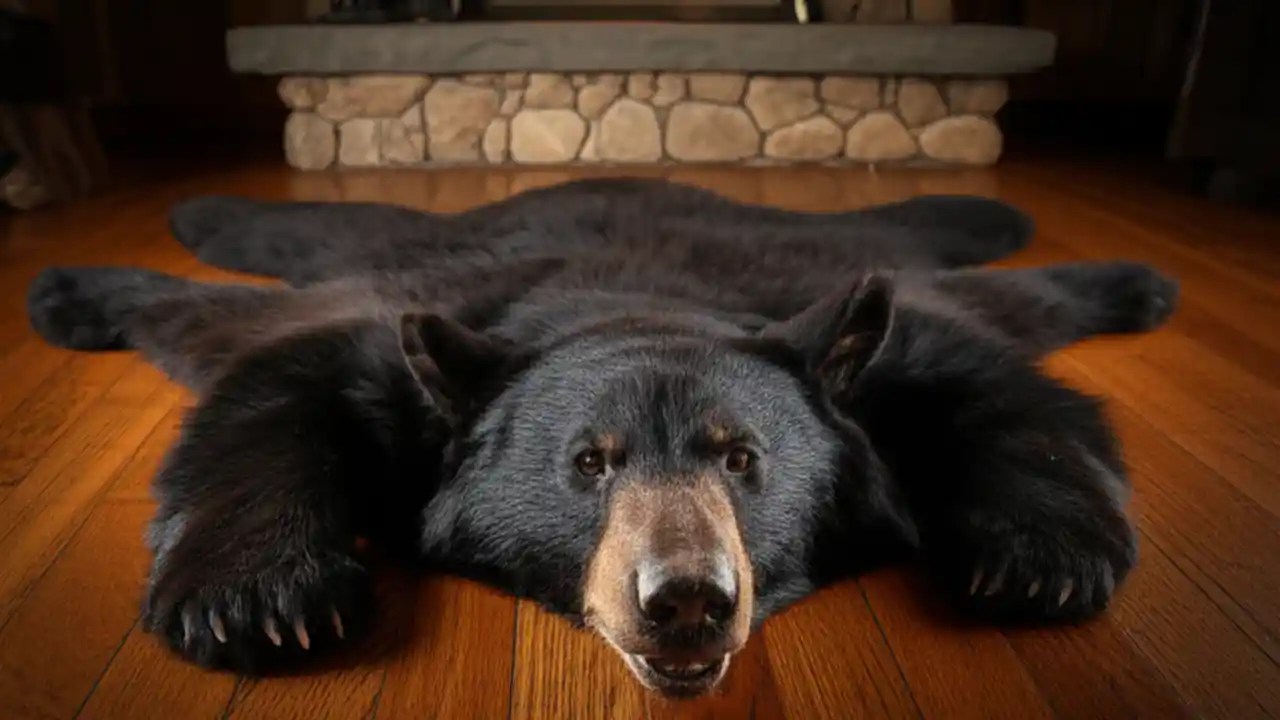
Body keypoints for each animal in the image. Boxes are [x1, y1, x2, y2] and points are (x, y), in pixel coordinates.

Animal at [26, 178, 1178, 697]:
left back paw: (1099, 261)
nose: (685, 598)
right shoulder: (407, 349)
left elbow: (1002, 385)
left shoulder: (866, 353)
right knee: (279, 250)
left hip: (802, 248)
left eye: (742, 459)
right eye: (587, 463)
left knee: (957, 255)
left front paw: (1039, 562)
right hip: (426, 249)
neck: (630, 307)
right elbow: (274, 388)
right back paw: (89, 275)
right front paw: (257, 600)